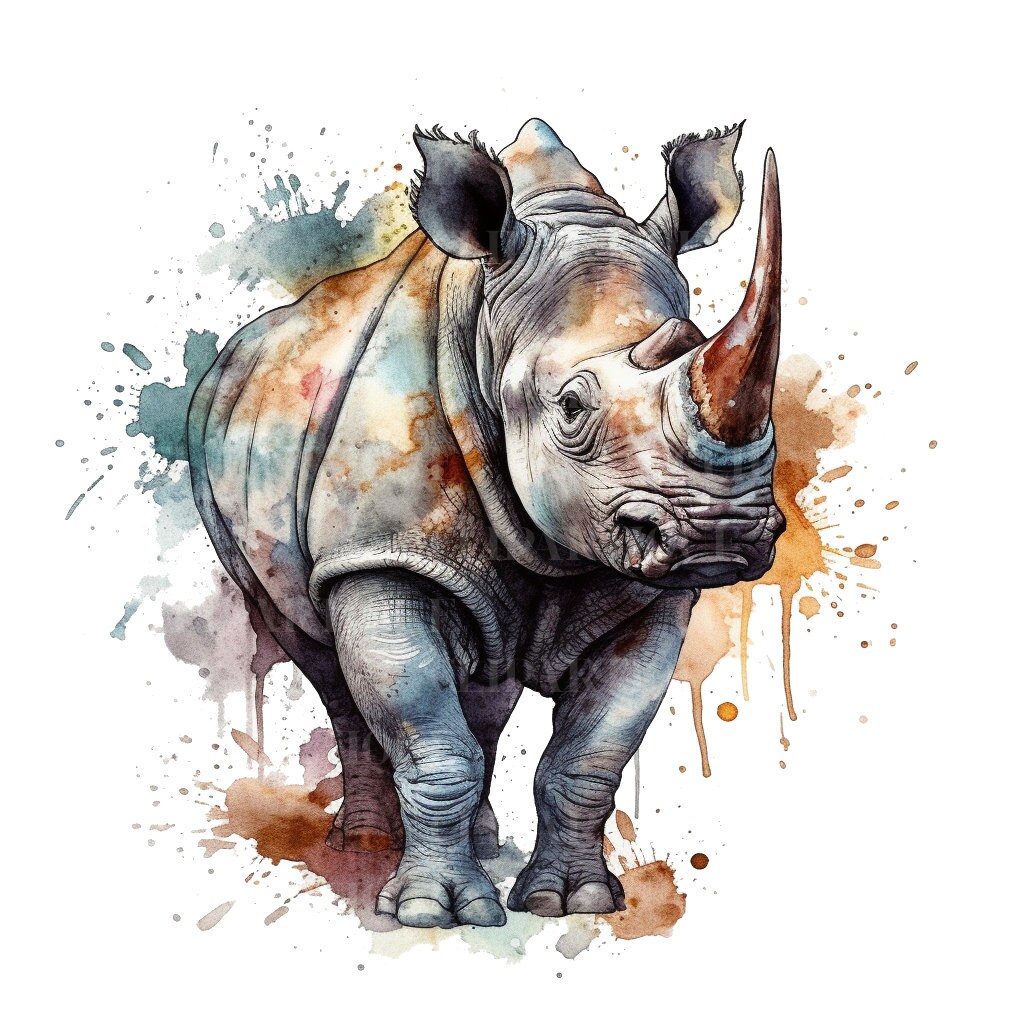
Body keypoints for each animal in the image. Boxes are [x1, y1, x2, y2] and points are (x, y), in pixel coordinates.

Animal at [187, 118, 784, 928]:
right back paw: (365, 848)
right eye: (571, 406)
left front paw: (575, 902)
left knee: (486, 685)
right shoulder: (378, 551)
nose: (724, 532)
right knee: (321, 660)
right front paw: (432, 913)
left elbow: (590, 757)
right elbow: (431, 740)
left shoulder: (651, 591)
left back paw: (480, 841)